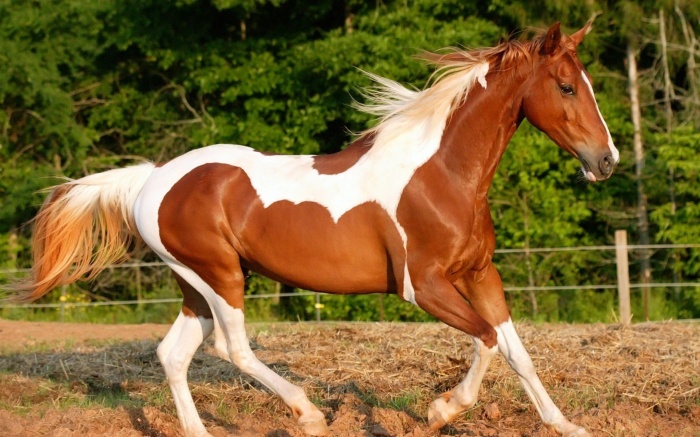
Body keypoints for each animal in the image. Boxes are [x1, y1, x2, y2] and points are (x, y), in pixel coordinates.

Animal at [5, 22, 617, 437]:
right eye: (566, 87)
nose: (606, 160)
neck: (440, 174)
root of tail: (152, 178)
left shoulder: (479, 273)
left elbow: (516, 351)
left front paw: (566, 425)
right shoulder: (424, 286)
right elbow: (487, 340)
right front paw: (441, 409)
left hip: (194, 284)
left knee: (173, 354)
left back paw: (203, 430)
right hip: (220, 275)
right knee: (232, 348)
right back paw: (309, 413)